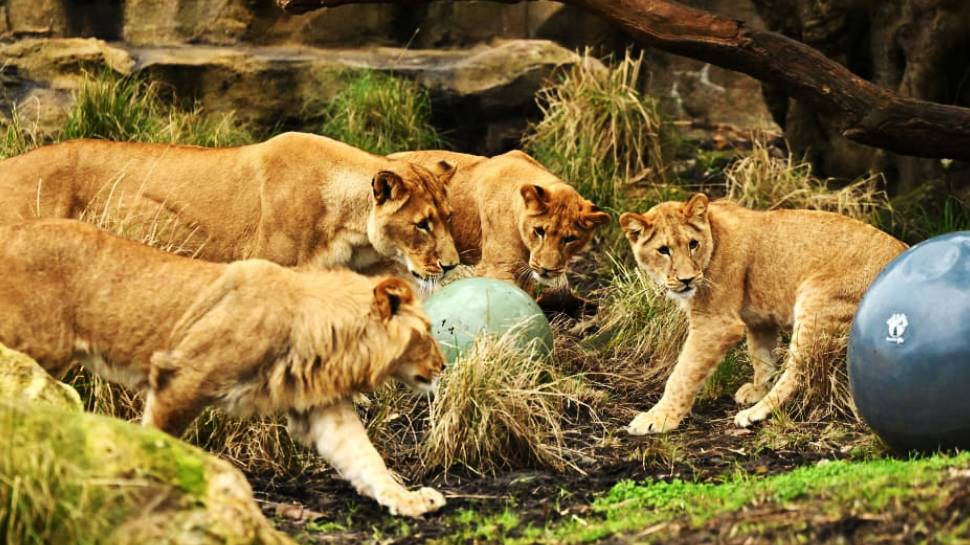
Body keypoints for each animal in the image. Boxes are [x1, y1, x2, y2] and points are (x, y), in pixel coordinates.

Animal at [0, 219, 447, 517]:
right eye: (426, 332)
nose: (444, 366)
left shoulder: (321, 407)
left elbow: (365, 457)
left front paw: (410, 501)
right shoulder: (180, 376)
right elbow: (160, 440)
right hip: (35, 342)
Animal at [619, 194, 906, 433]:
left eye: (692, 244)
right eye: (663, 250)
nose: (687, 280)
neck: (713, 237)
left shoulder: (716, 324)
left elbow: (683, 374)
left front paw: (658, 419)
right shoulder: (759, 320)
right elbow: (761, 355)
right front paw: (758, 387)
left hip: (817, 300)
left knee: (799, 373)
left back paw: (755, 413)